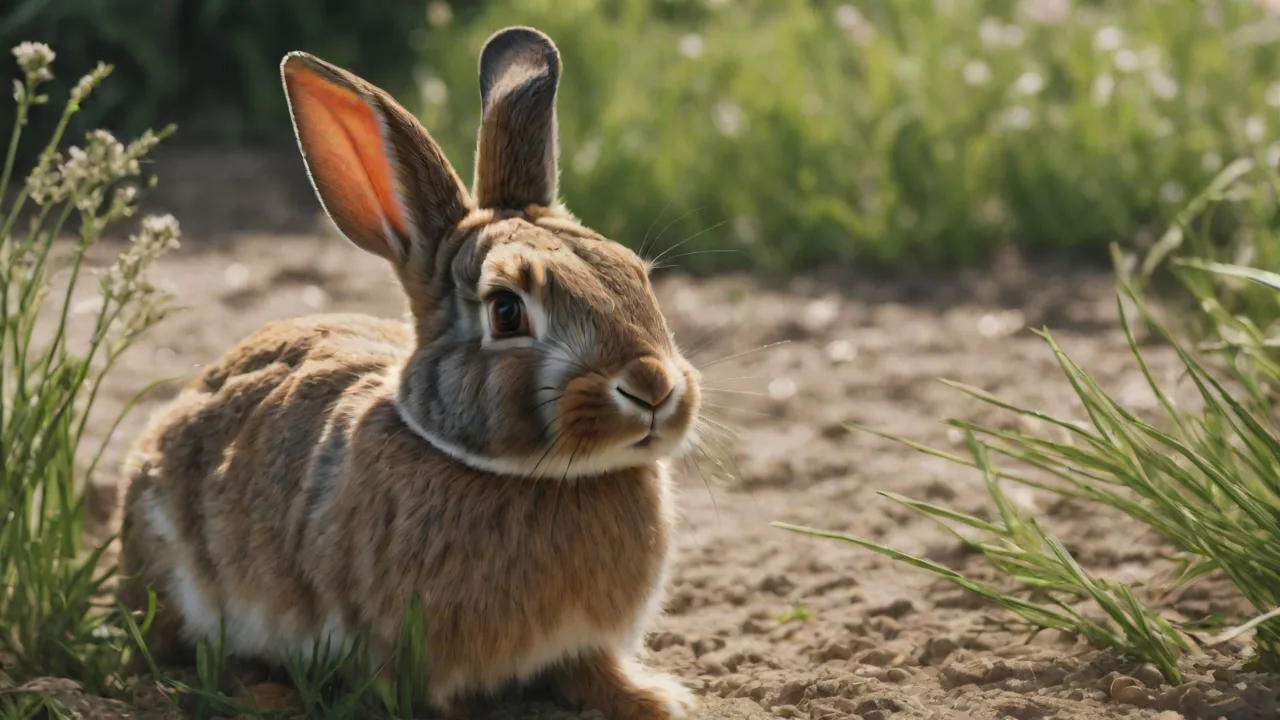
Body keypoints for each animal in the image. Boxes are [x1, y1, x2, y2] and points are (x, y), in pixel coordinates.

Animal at [114, 26, 702, 720]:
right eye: (507, 311)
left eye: (637, 275)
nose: (653, 388)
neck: (530, 475)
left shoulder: (582, 644)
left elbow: (593, 672)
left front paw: (658, 700)